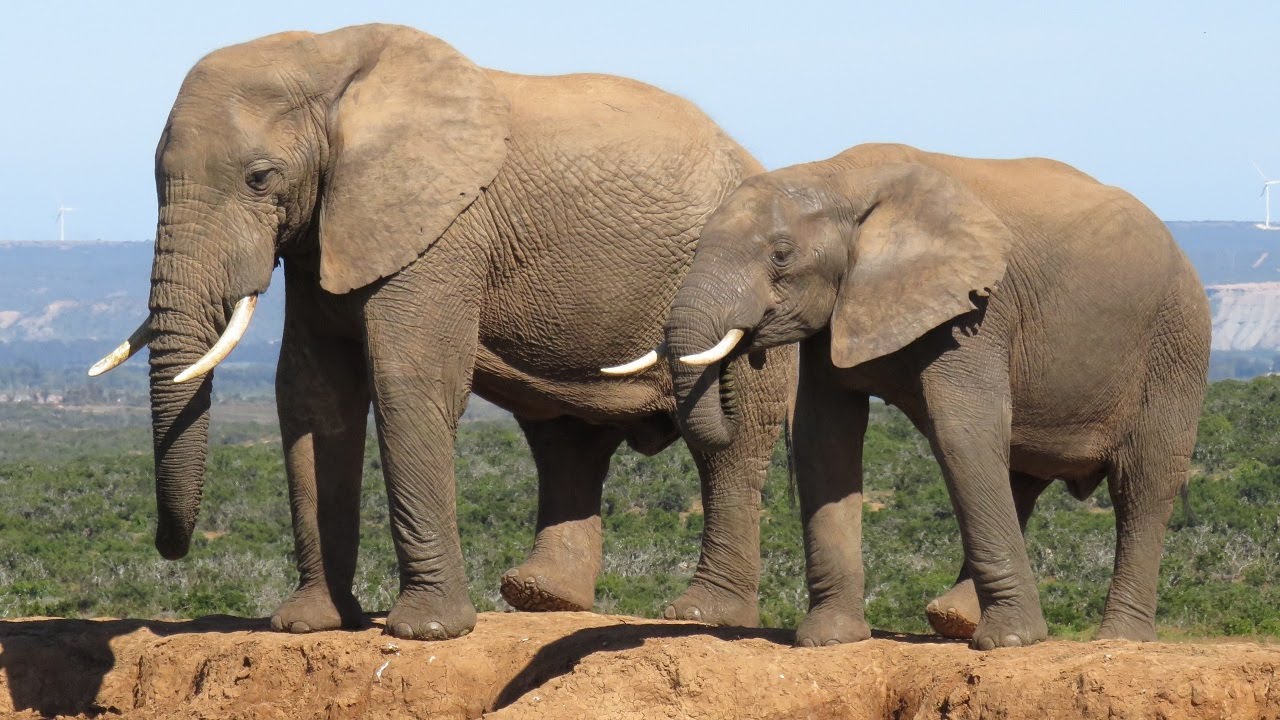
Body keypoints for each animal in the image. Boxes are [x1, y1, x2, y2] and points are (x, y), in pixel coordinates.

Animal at [87, 23, 794, 640]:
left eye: (260, 178)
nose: (168, 546)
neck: (330, 62)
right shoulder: (330, 230)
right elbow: (314, 398)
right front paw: (309, 624)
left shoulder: (442, 230)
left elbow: (409, 383)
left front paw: (425, 632)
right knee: (568, 439)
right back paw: (540, 597)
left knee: (733, 443)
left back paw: (703, 617)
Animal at [609, 143, 1210, 649]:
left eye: (781, 255)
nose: (748, 352)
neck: (840, 179)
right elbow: (824, 438)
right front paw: (830, 640)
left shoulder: (977, 309)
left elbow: (961, 431)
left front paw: (1010, 644)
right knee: (1020, 472)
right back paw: (952, 617)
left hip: (1176, 342)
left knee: (1144, 482)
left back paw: (1119, 640)